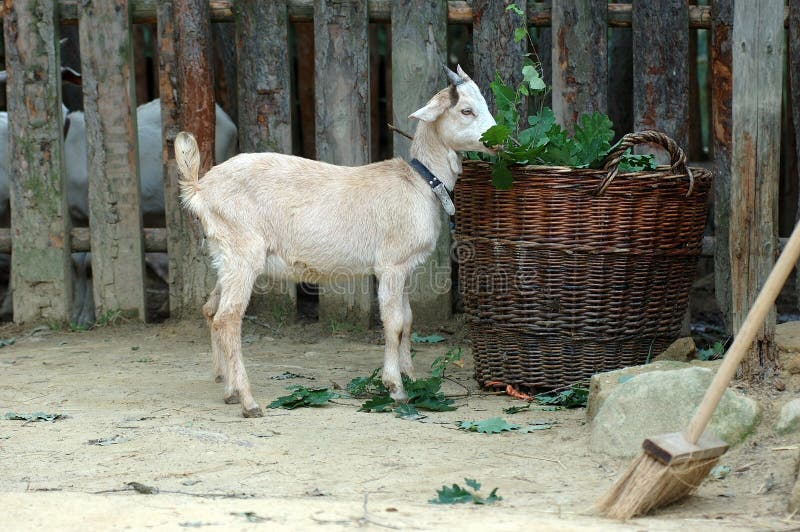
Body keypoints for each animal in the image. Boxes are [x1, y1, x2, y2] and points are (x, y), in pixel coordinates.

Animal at [174, 66, 495, 417]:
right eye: (466, 110)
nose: (500, 140)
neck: (421, 182)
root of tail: (200, 189)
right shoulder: (391, 265)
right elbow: (394, 323)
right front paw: (395, 388)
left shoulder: (406, 267)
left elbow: (409, 321)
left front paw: (411, 376)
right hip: (243, 252)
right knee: (228, 318)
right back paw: (248, 401)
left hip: (224, 255)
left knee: (211, 309)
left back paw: (230, 390)